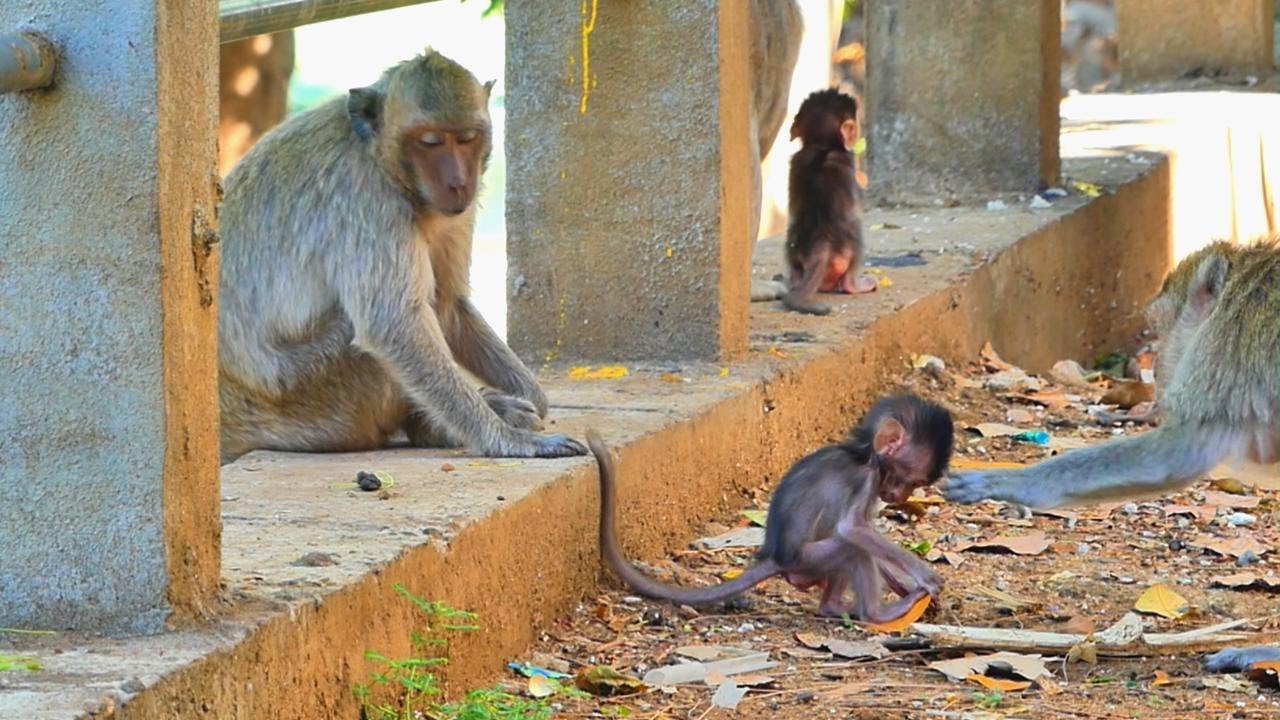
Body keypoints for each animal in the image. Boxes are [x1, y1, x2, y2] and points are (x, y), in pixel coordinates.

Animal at [217, 49, 586, 464]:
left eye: (467, 139)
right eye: (429, 142)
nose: (458, 182)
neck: (381, 158)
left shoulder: (455, 210)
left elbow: (451, 303)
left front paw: (529, 398)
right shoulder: (369, 199)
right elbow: (393, 325)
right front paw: (505, 439)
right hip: (308, 398)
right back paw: (435, 429)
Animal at [588, 394, 955, 622]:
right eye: (908, 479)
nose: (898, 495)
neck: (864, 454)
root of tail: (776, 557)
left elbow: (866, 531)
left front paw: (902, 581)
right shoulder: (865, 479)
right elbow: (853, 529)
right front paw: (923, 576)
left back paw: (835, 607)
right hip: (808, 561)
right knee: (851, 550)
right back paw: (876, 615)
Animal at [782, 89, 876, 316]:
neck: (822, 146)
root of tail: (821, 245)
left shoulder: (796, 160)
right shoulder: (848, 160)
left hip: (793, 251)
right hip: (847, 252)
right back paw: (856, 285)